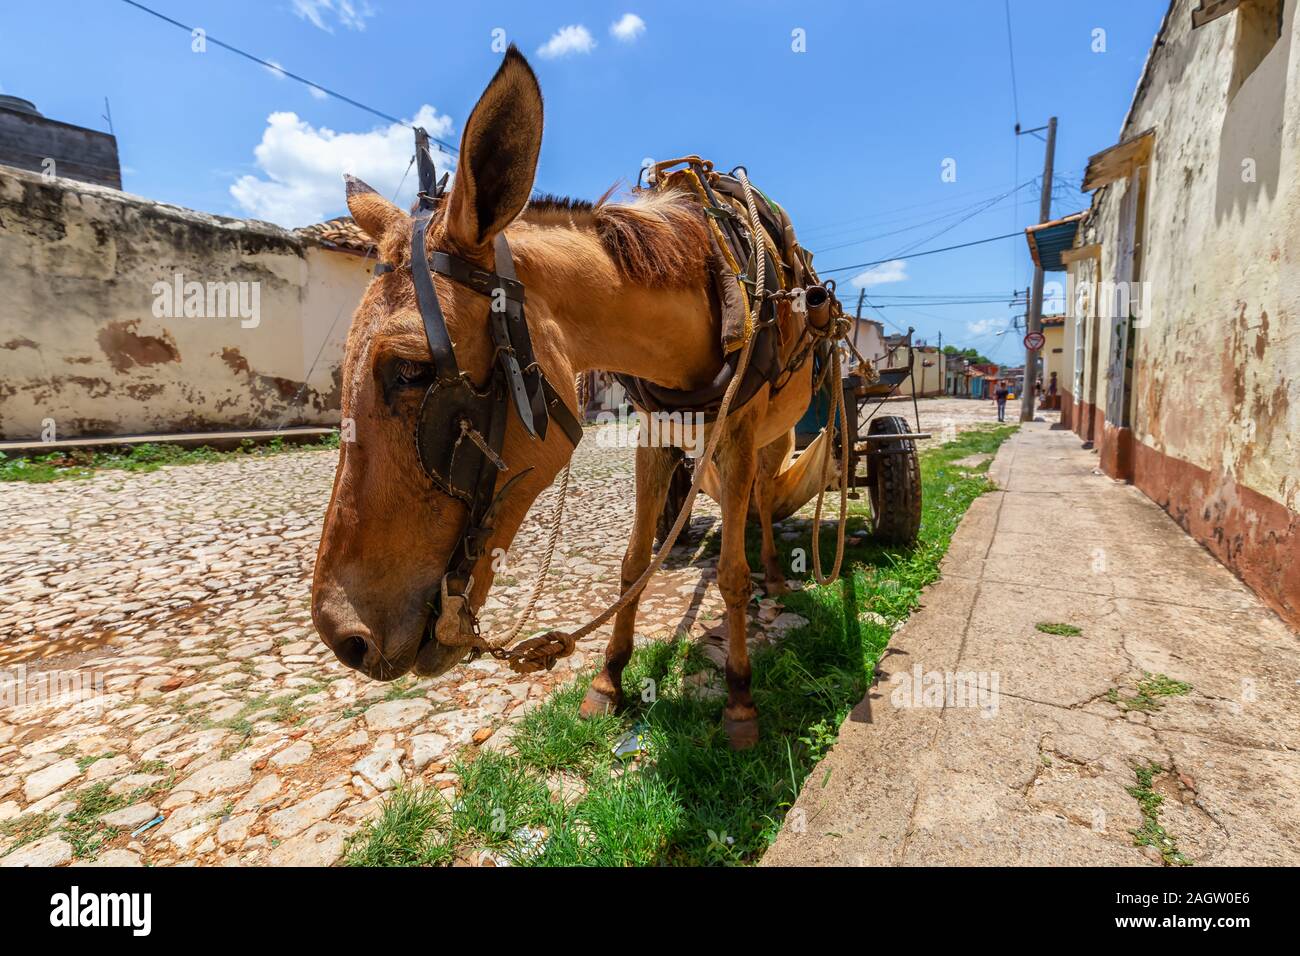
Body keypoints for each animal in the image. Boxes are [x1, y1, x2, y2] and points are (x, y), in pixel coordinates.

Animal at [311, 47, 834, 749]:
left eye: (411, 370)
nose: (342, 638)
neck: (715, 290)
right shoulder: (657, 433)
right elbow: (634, 563)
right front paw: (610, 679)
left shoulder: (740, 431)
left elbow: (729, 574)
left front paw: (740, 699)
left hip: (772, 430)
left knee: (758, 497)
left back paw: (775, 574)